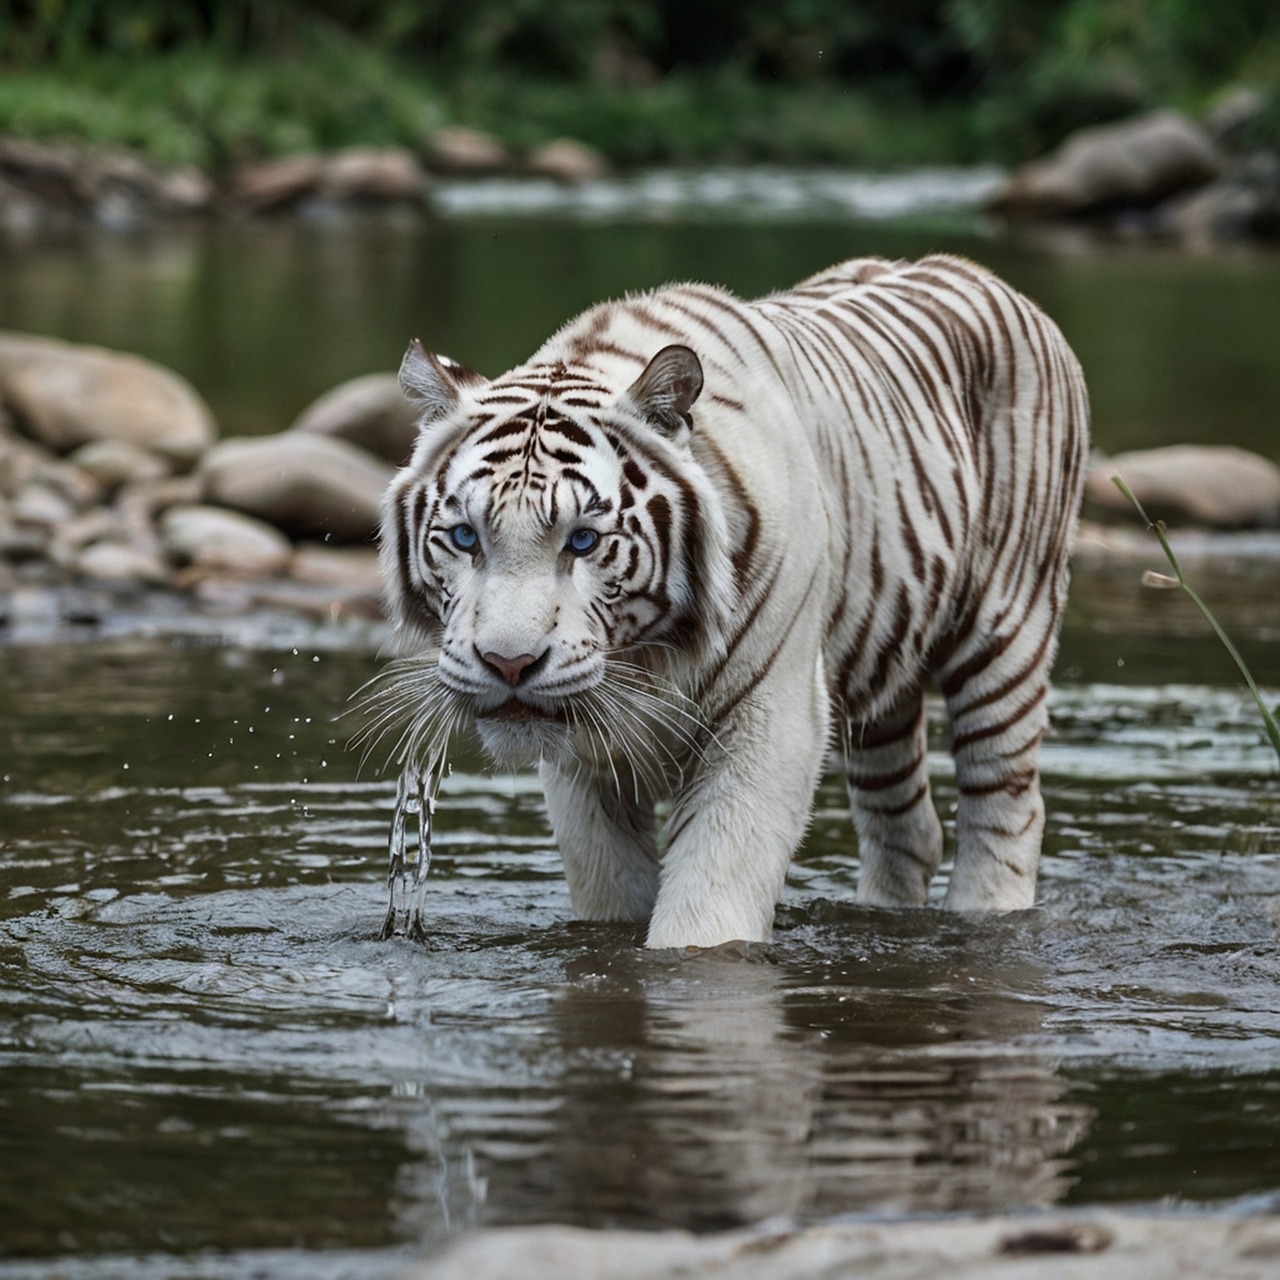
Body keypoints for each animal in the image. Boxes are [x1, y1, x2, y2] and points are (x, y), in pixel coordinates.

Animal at [375, 253, 1089, 950]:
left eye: (582, 539)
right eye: (466, 536)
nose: (509, 664)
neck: (648, 658)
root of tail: (991, 277)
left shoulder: (773, 718)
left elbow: (707, 910)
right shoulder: (583, 770)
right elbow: (609, 888)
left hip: (1007, 636)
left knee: (1007, 810)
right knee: (908, 828)